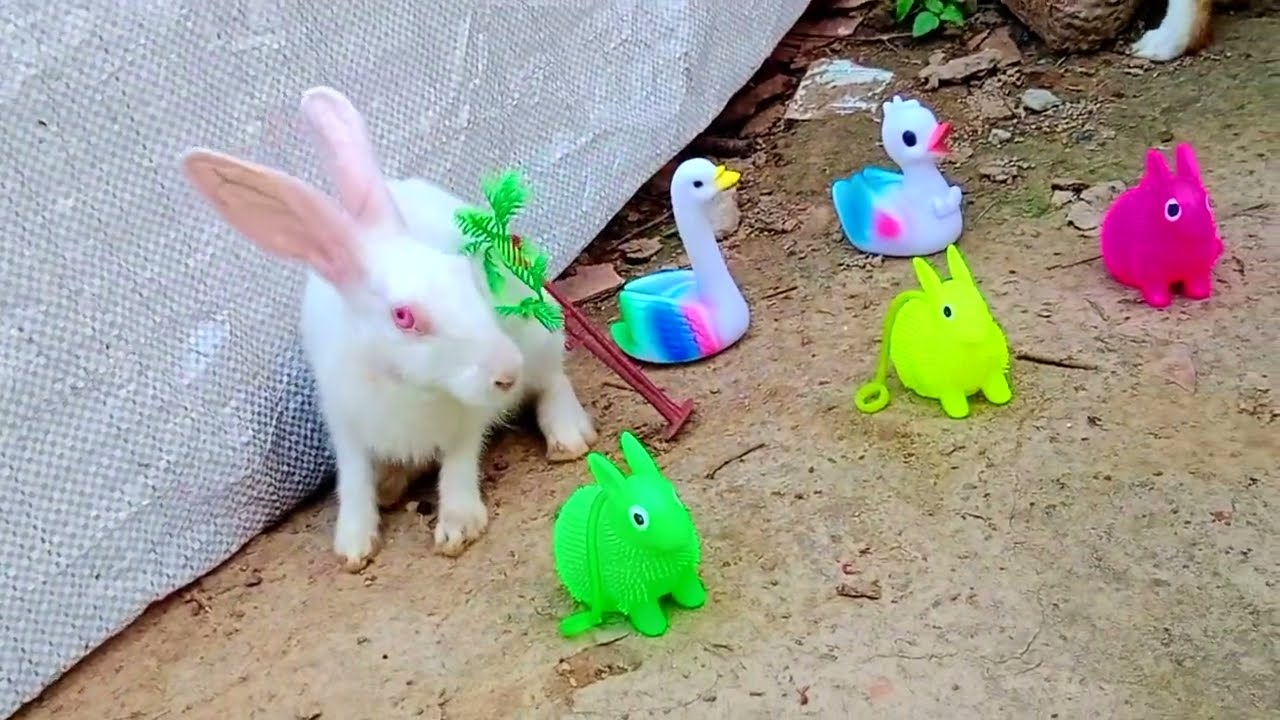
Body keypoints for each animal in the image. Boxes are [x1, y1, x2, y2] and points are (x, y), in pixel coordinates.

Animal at [180, 86, 597, 571]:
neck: (406, 385)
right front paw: (353, 545)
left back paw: (568, 437)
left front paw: (458, 526)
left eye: (464, 273)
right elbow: (353, 479)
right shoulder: (344, 425)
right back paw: (391, 484)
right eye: (404, 317)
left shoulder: (467, 420)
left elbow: (459, 461)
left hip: (540, 335)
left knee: (552, 381)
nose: (506, 372)